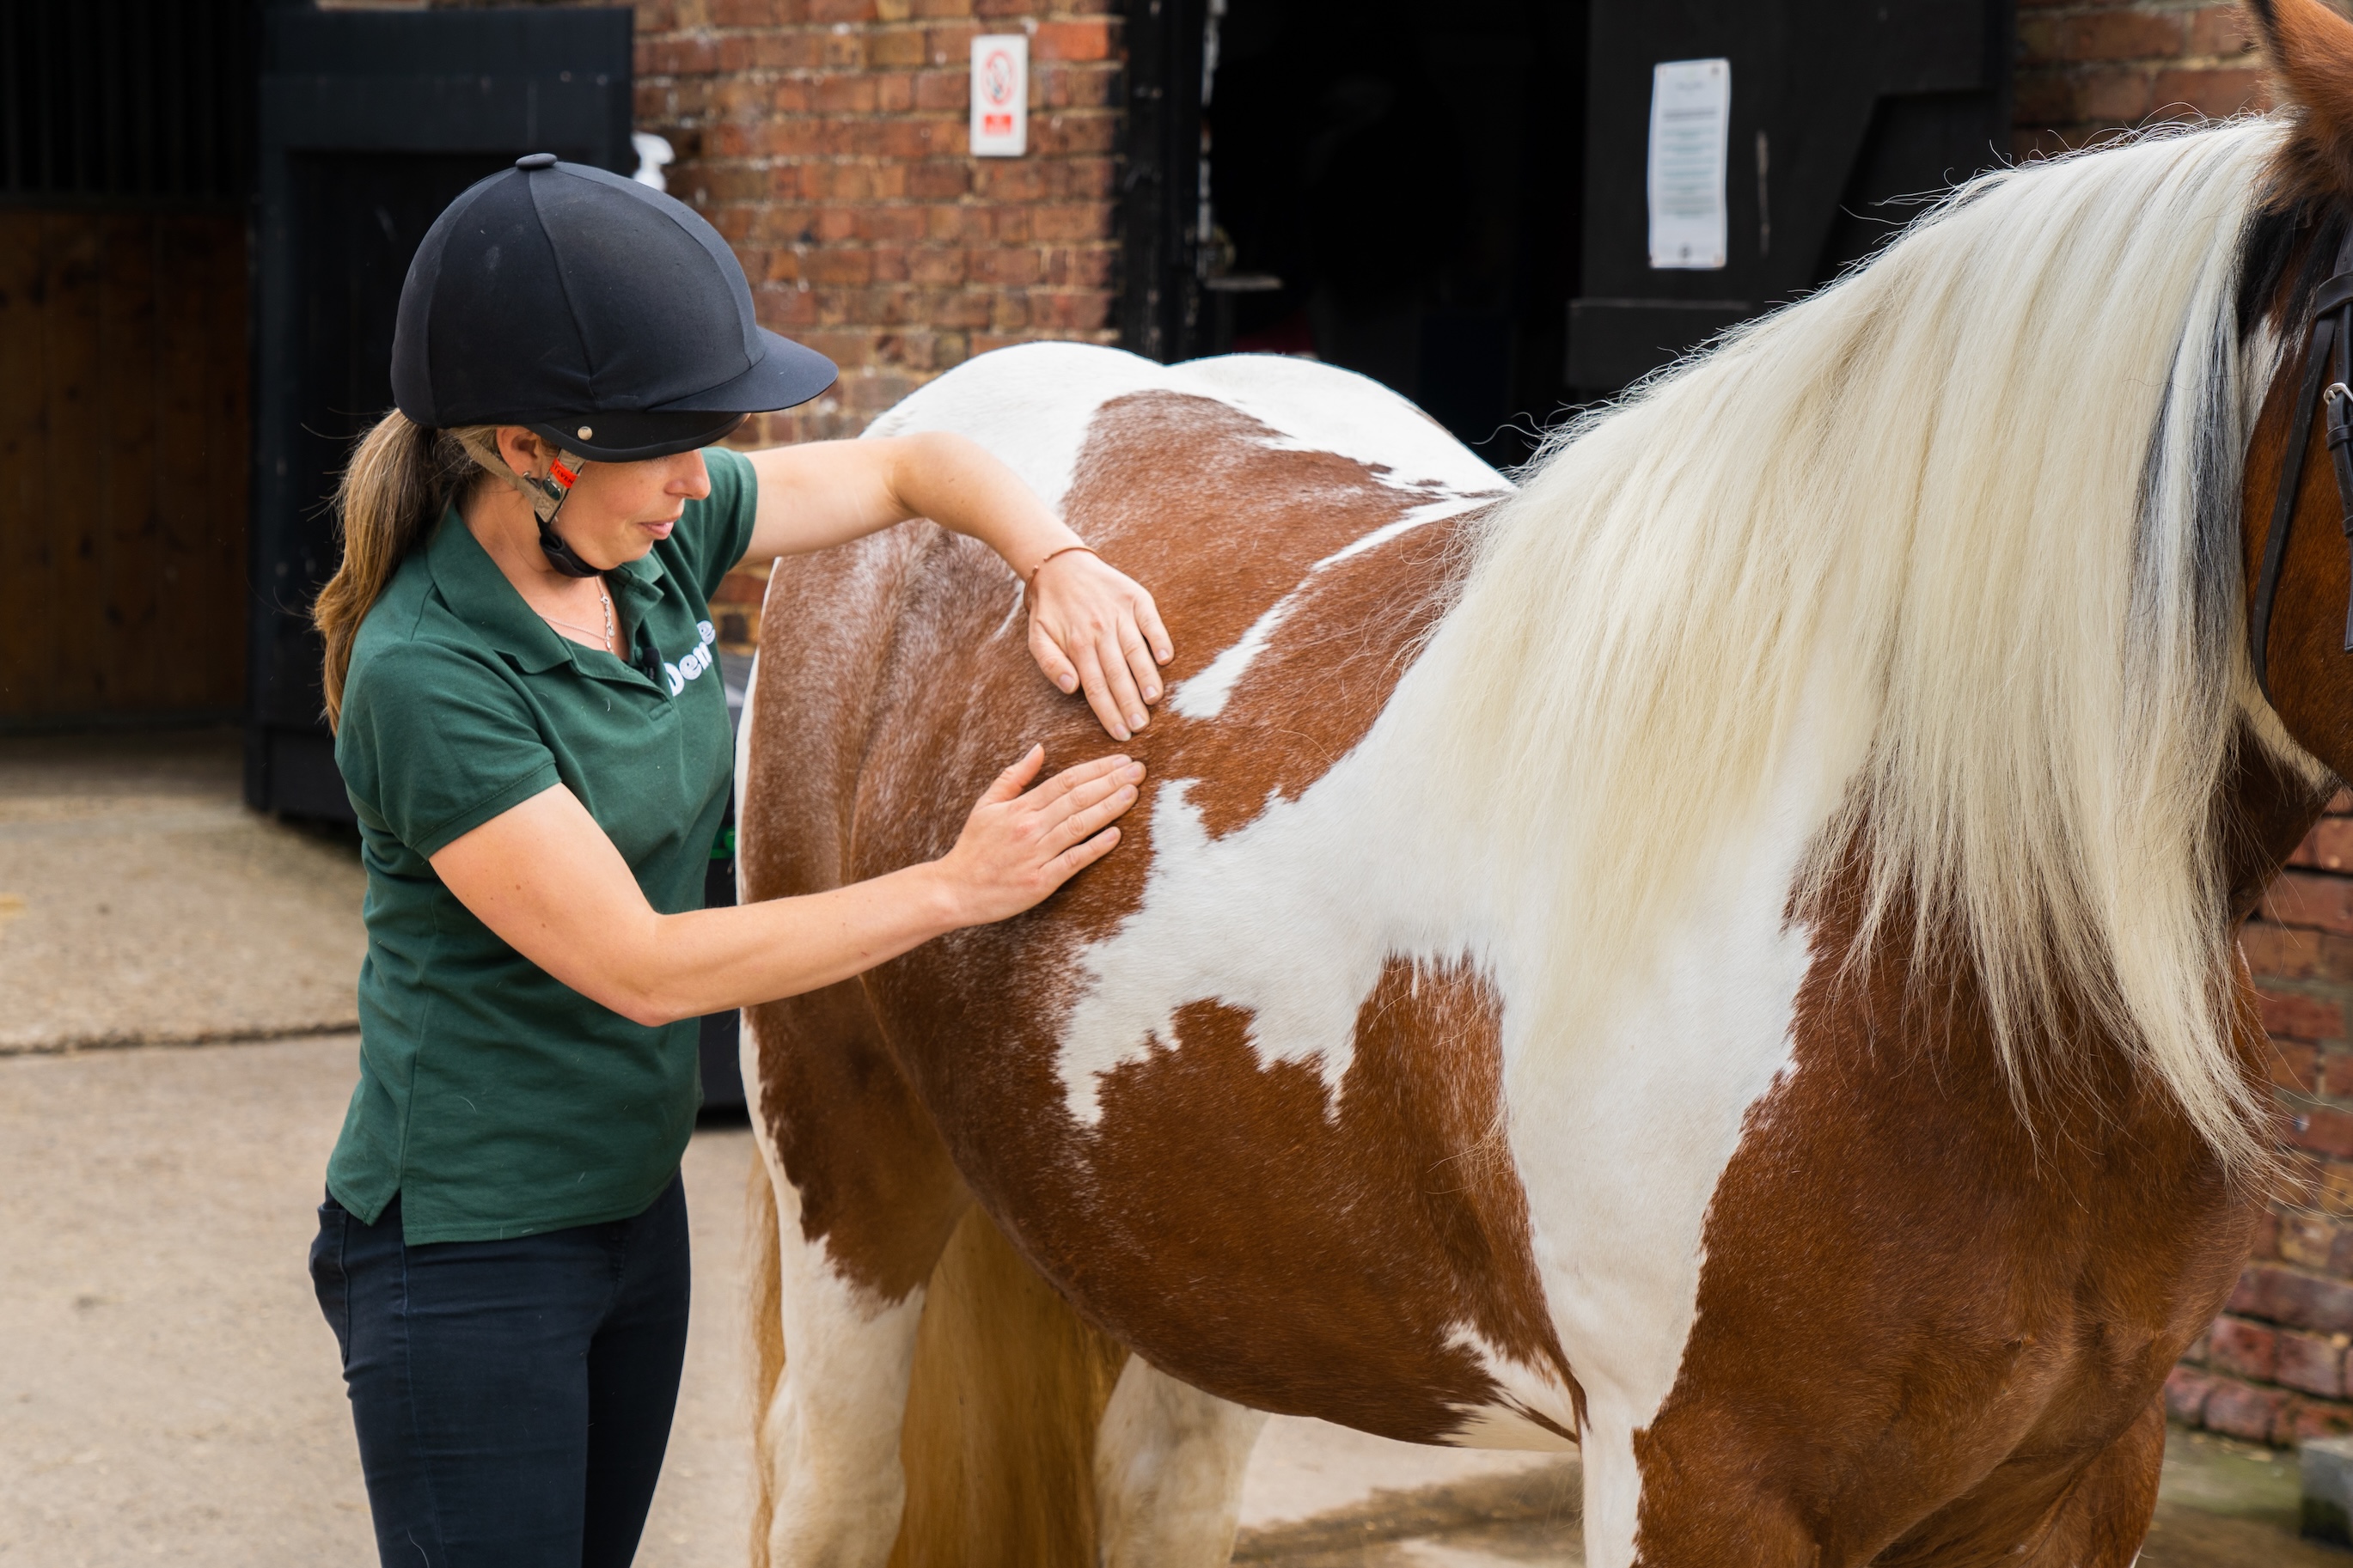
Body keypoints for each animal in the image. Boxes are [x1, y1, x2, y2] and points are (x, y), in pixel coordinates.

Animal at [732, 5, 2353, 1561]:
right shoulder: (1696, 1480)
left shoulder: (2078, 1480)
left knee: (1156, 1489)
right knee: (835, 1494)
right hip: (841, 1143)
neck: (1935, 932)